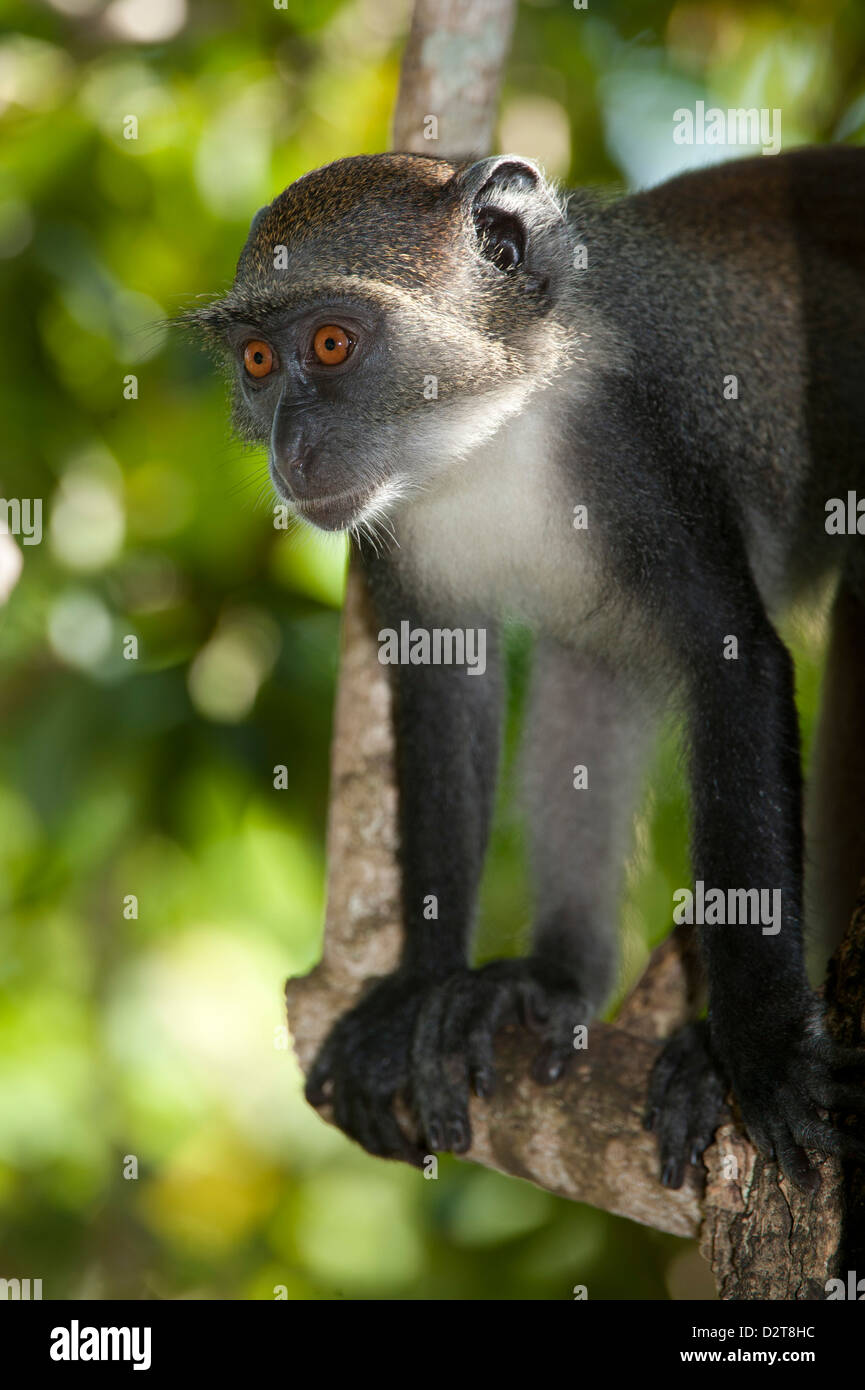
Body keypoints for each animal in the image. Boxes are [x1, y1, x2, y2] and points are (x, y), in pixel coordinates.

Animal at [189, 145, 865, 1191]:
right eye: (257, 362)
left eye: (333, 344)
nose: (289, 452)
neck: (489, 432)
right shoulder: (399, 533)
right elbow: (442, 686)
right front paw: (422, 984)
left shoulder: (629, 448)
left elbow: (734, 662)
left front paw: (757, 1054)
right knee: (588, 663)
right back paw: (550, 981)